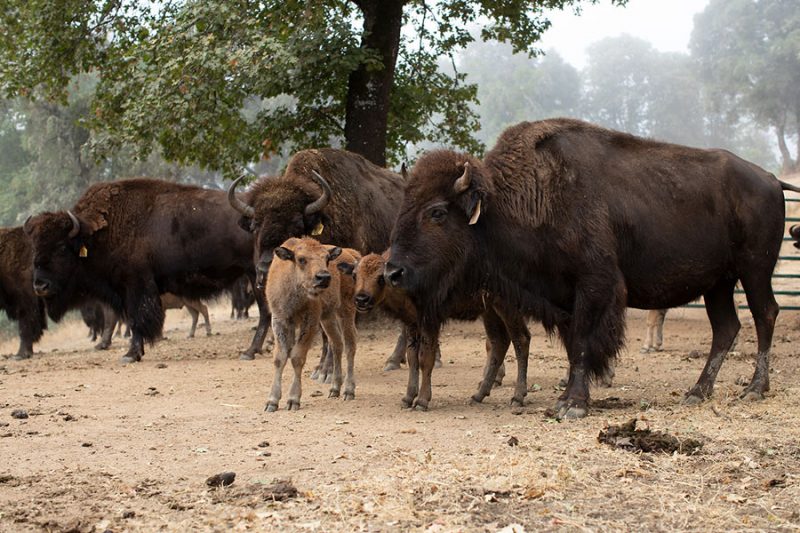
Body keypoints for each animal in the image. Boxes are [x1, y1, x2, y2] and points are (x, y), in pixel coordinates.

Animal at [24, 178, 269, 363]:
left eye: (61, 247)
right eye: (34, 247)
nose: (40, 285)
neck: (96, 235)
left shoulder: (136, 286)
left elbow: (136, 320)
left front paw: (130, 355)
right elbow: (131, 320)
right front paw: (135, 352)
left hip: (255, 273)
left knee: (265, 311)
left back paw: (250, 352)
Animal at [386, 118, 798, 418]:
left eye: (437, 212)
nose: (392, 273)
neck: (523, 197)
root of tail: (769, 179)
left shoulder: (594, 286)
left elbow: (584, 344)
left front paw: (573, 405)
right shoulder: (563, 298)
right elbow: (573, 348)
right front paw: (566, 398)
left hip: (754, 270)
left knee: (765, 314)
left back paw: (754, 389)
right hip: (718, 283)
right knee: (726, 329)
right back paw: (697, 392)